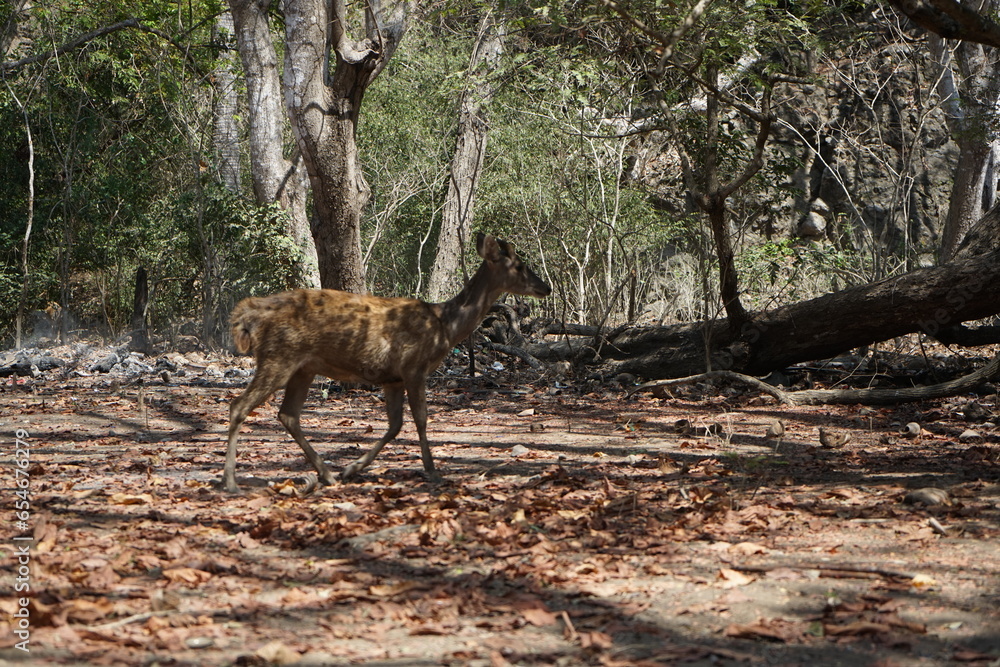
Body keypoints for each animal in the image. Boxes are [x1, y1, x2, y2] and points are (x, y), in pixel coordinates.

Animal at [222, 233, 551, 492]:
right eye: (520, 265)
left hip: (303, 368)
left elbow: (395, 425)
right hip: (279, 357)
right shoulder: (414, 367)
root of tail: (253, 314)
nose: (545, 287)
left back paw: (327, 474)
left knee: (288, 414)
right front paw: (432, 470)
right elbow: (421, 419)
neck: (445, 326)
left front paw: (352, 468)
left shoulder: (392, 378)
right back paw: (231, 481)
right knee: (239, 405)